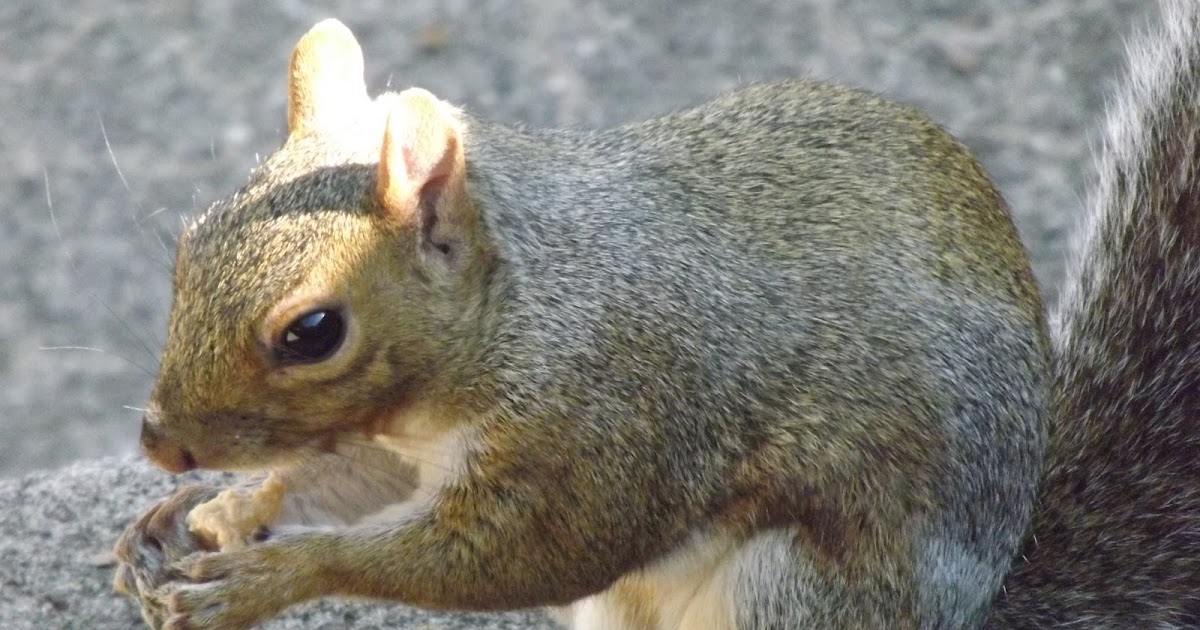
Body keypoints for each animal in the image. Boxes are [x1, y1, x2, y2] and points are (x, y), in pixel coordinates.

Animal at [109, 0, 1200, 628]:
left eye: (312, 333)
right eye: (189, 243)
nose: (160, 442)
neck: (524, 310)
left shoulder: (616, 426)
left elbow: (515, 556)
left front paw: (266, 578)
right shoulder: (399, 443)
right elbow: (342, 479)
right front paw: (209, 512)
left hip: (797, 598)